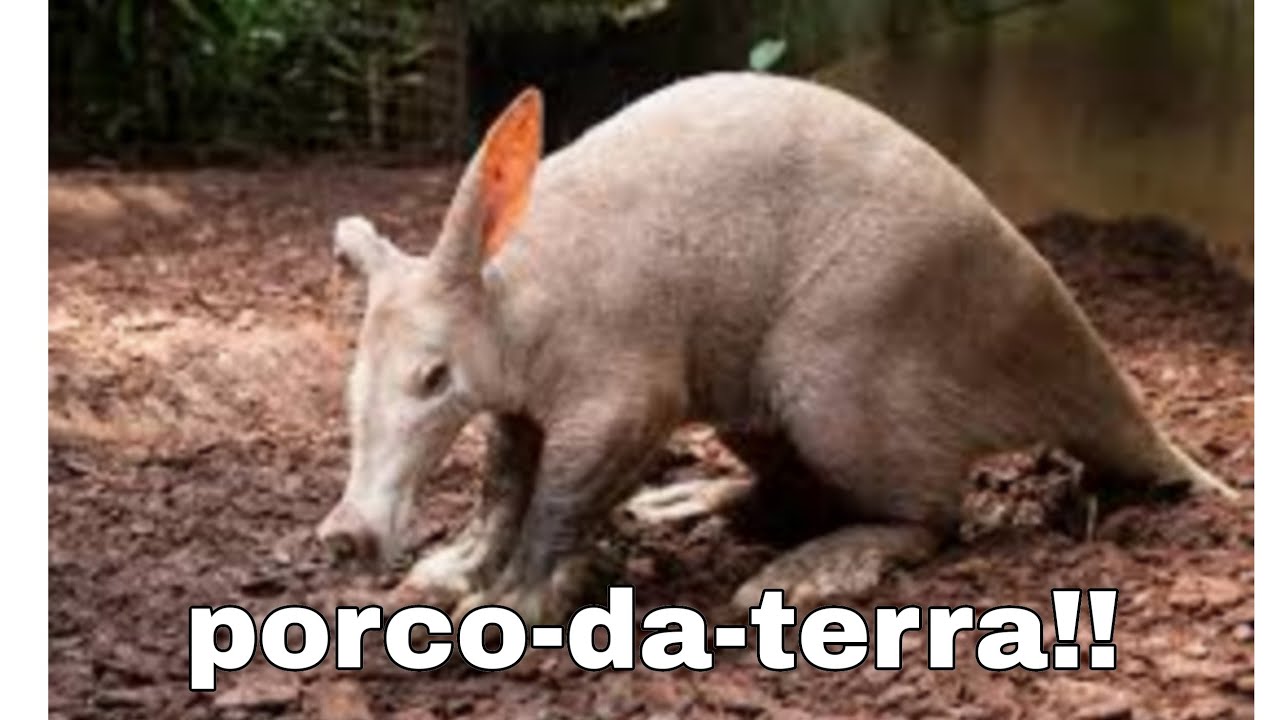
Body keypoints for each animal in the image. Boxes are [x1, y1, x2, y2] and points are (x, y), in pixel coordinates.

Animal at [316, 72, 1236, 622]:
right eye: (349, 385)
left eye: (434, 376)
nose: (345, 537)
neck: (506, 300)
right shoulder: (518, 400)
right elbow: (504, 477)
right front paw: (450, 571)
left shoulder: (621, 382)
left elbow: (563, 488)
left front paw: (510, 605)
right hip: (759, 407)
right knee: (796, 488)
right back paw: (687, 503)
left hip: (844, 375)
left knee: (931, 514)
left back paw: (796, 576)